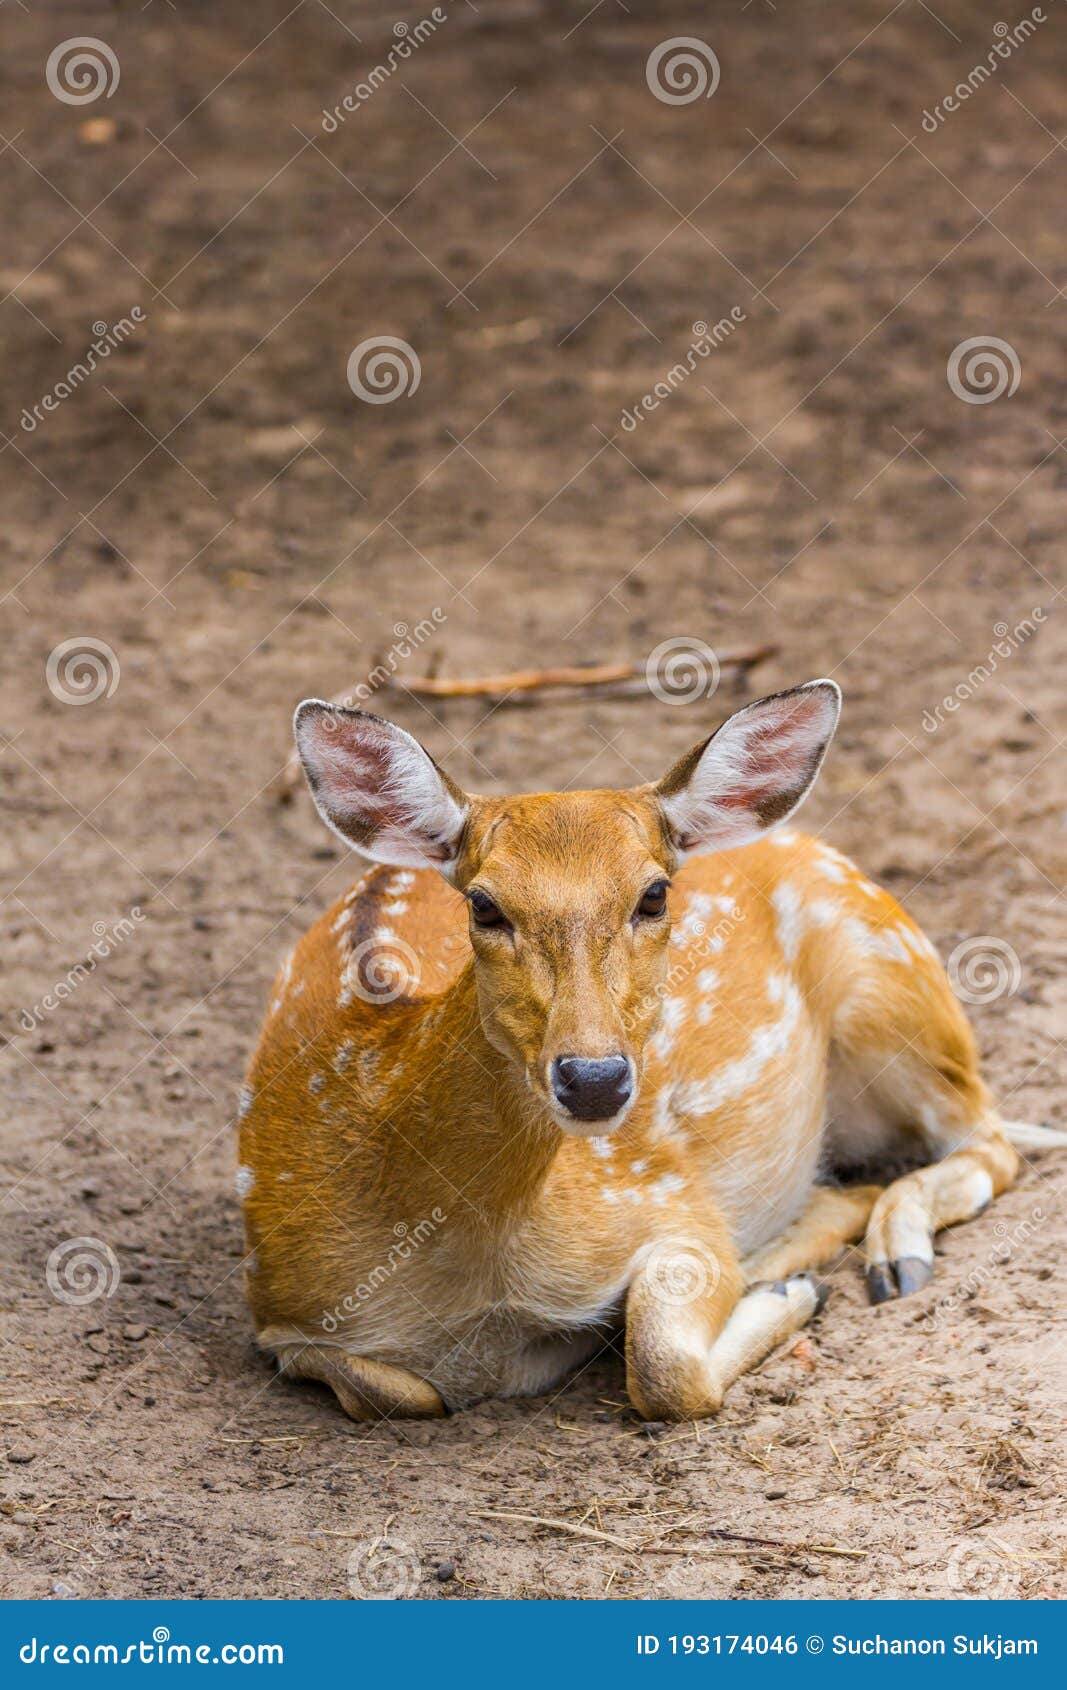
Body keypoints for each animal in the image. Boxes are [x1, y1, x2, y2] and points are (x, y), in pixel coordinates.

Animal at [237, 680, 1062, 1423]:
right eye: (483, 904)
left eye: (654, 894)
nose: (593, 1079)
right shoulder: (279, 1310)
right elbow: (395, 1391)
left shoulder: (665, 1199)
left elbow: (664, 1365)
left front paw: (787, 1289)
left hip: (886, 973)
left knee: (987, 1139)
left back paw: (877, 1256)